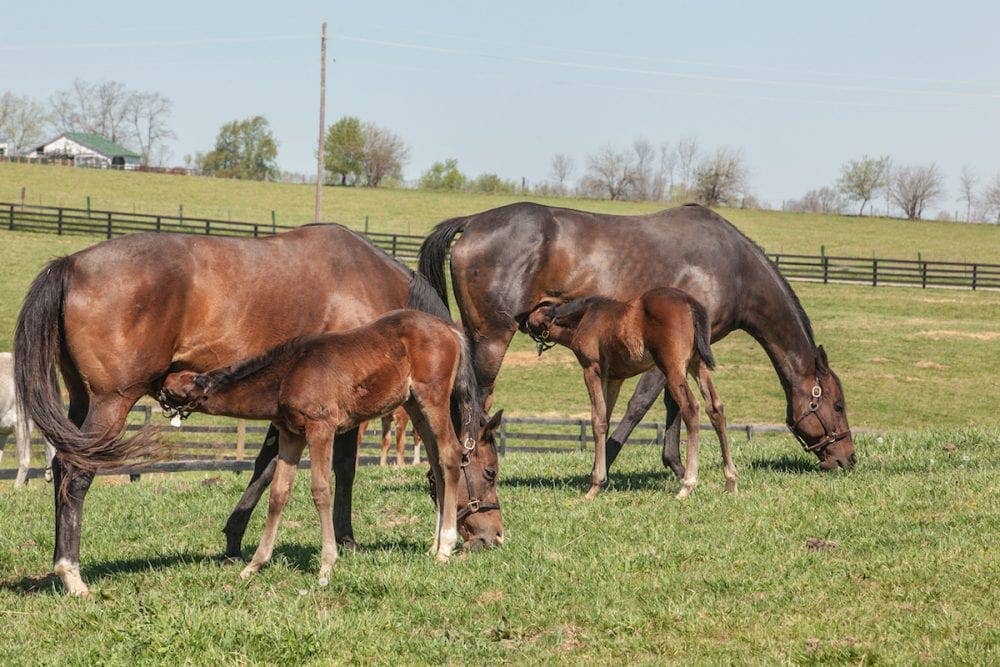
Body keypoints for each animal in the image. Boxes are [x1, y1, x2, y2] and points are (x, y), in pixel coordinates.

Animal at [159, 310, 503, 582]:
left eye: (181, 384)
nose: (161, 390)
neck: (289, 373)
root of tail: (451, 330)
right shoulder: (291, 434)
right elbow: (278, 494)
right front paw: (255, 564)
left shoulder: (320, 428)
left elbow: (321, 489)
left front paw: (326, 565)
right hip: (414, 404)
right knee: (435, 460)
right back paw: (435, 545)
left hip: (432, 397)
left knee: (450, 454)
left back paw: (445, 547)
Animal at [526, 289, 736, 499]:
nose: (525, 324)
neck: (585, 318)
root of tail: (689, 301)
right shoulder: (613, 379)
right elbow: (605, 420)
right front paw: (597, 478)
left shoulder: (591, 370)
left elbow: (597, 420)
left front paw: (594, 486)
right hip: (696, 362)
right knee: (715, 407)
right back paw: (730, 481)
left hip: (672, 366)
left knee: (691, 408)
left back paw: (687, 485)